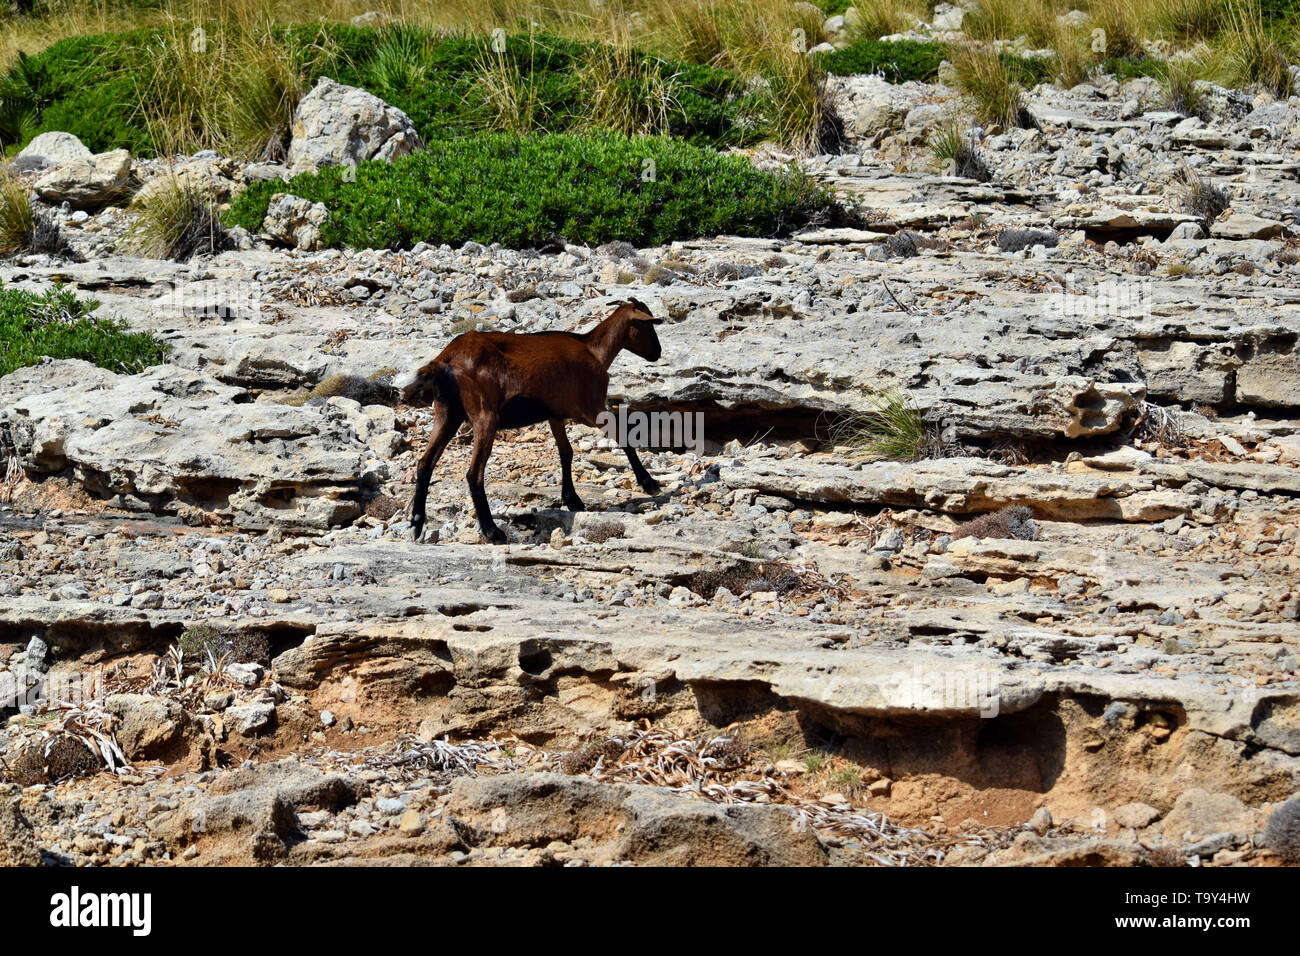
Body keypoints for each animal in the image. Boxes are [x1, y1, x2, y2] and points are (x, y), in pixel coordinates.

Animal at [405, 298, 664, 544]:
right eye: (648, 324)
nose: (658, 353)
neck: (592, 349)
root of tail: (444, 360)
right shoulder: (592, 409)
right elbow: (624, 438)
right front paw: (649, 484)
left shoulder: (555, 415)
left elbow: (566, 452)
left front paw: (572, 499)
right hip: (484, 415)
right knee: (473, 473)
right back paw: (492, 531)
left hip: (447, 413)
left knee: (425, 463)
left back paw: (416, 522)